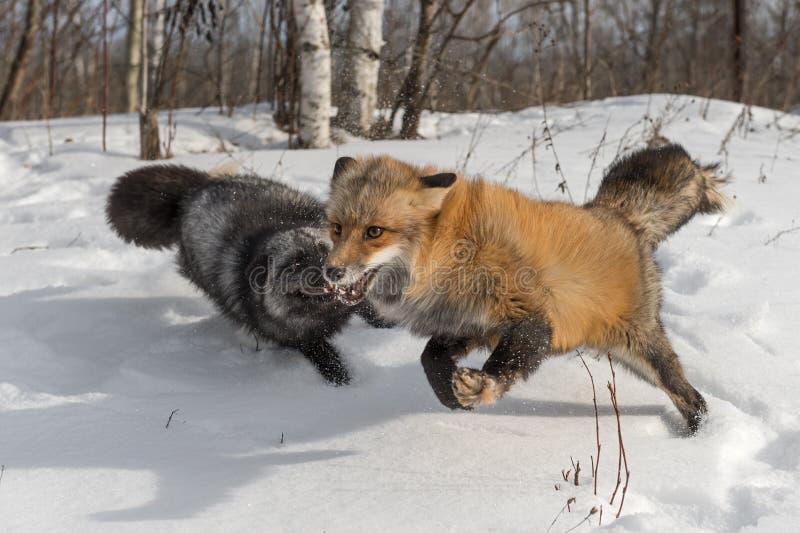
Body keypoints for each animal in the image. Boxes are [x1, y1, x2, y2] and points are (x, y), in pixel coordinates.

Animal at [106, 164, 388, 386]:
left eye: (323, 250)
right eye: (295, 263)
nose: (332, 272)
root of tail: (196, 189)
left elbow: (367, 307)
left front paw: (387, 327)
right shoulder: (294, 337)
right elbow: (324, 356)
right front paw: (343, 381)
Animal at [322, 144, 729, 433]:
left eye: (374, 232)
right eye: (337, 229)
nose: (331, 273)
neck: (449, 249)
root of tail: (617, 215)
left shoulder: (530, 314)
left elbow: (502, 367)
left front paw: (481, 388)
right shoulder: (470, 324)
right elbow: (429, 359)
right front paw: (450, 398)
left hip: (642, 350)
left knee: (692, 398)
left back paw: (697, 438)